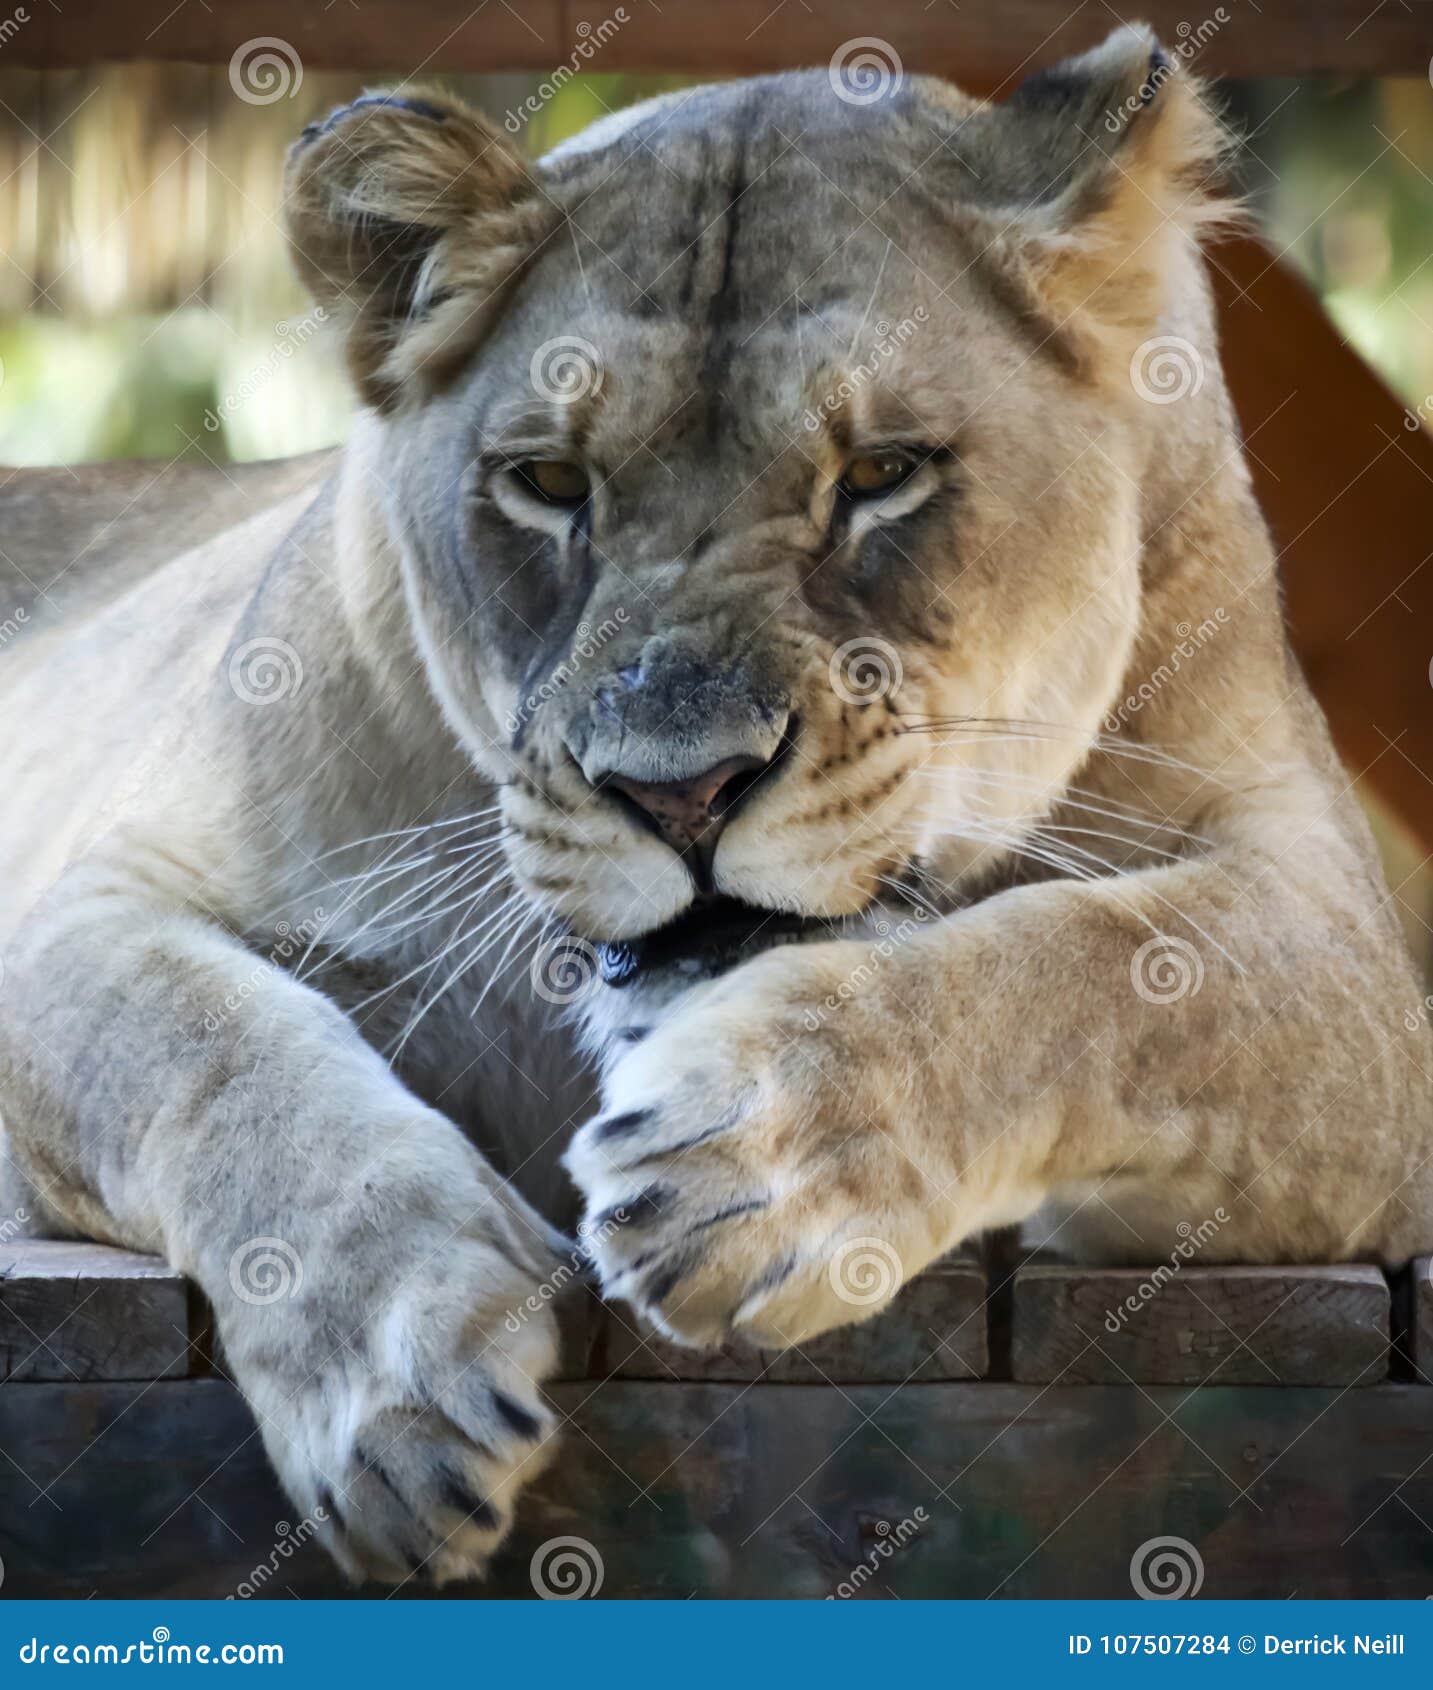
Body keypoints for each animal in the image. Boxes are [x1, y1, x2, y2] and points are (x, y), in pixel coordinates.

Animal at [1, 25, 1429, 1585]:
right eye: (548, 482)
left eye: (881, 473)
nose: (678, 787)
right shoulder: (95, 902)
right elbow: (220, 1059)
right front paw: (402, 1358)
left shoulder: (1347, 960)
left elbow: (1089, 968)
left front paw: (743, 1165)